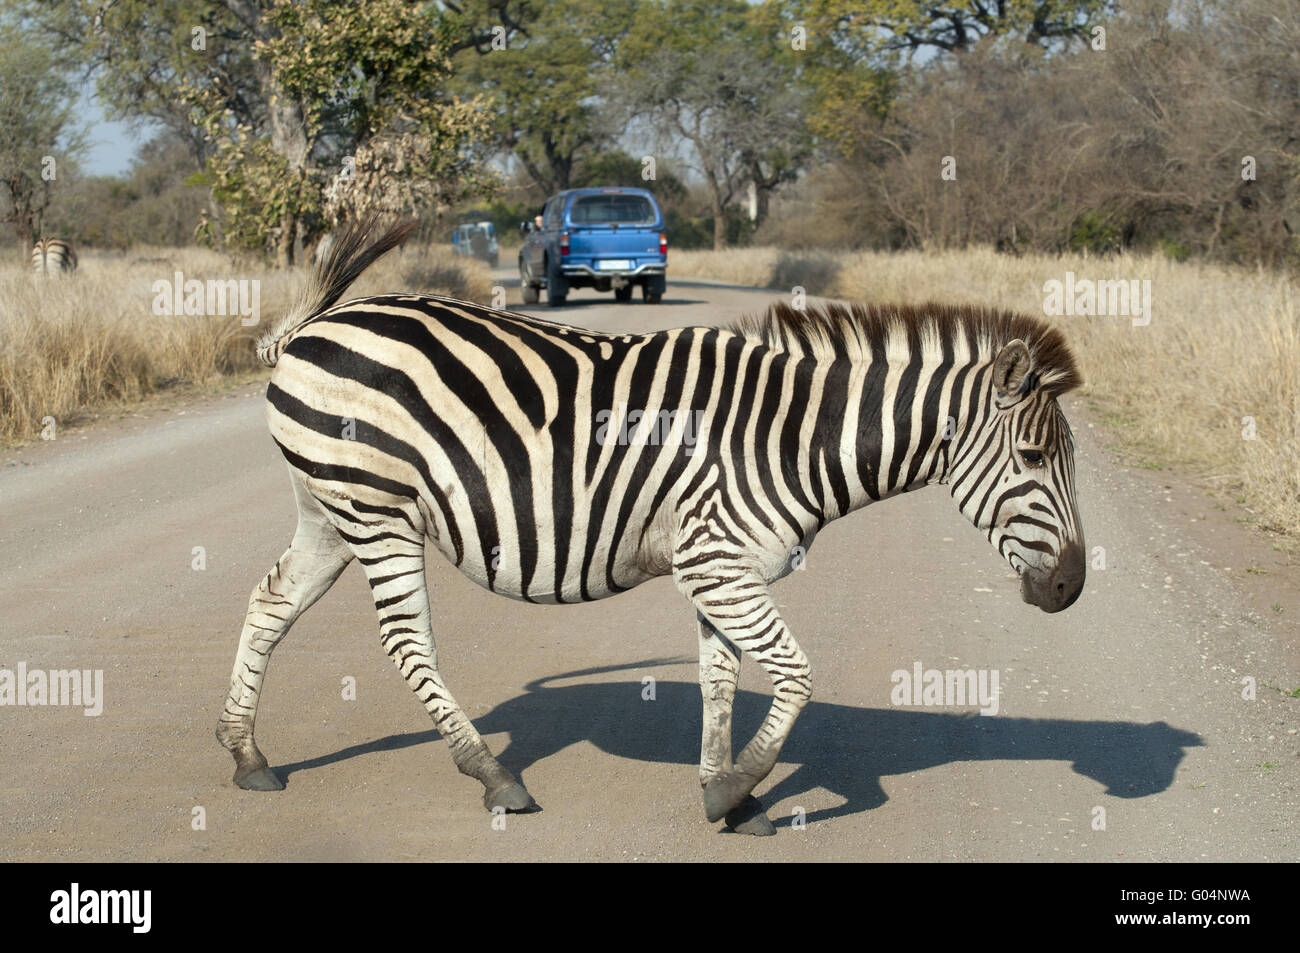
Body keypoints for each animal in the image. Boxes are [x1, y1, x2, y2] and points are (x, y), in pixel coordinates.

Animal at [219, 219, 1086, 835]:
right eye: (1035, 457)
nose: (1073, 588)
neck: (790, 439)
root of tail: (310, 330)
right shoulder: (717, 564)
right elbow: (796, 675)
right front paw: (734, 790)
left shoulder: (723, 569)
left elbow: (721, 679)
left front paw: (728, 793)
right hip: (377, 508)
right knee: (406, 638)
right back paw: (494, 776)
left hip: (332, 509)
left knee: (269, 602)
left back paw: (248, 755)